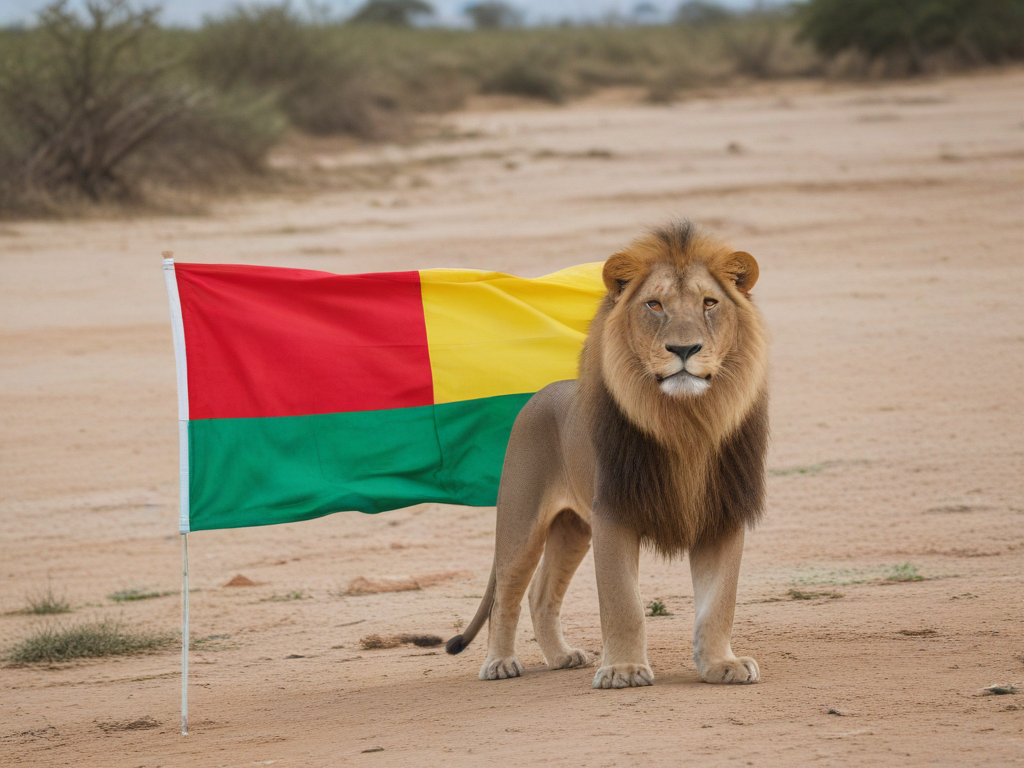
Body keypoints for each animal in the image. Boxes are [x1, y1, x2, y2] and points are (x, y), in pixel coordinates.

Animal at [446, 220, 769, 688]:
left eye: (709, 303)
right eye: (654, 304)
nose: (684, 350)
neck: (686, 421)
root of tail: (539, 393)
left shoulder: (722, 513)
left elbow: (718, 602)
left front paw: (721, 665)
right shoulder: (614, 513)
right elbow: (623, 602)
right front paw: (624, 670)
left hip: (572, 528)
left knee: (542, 593)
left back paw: (561, 657)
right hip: (521, 521)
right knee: (507, 592)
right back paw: (499, 664)